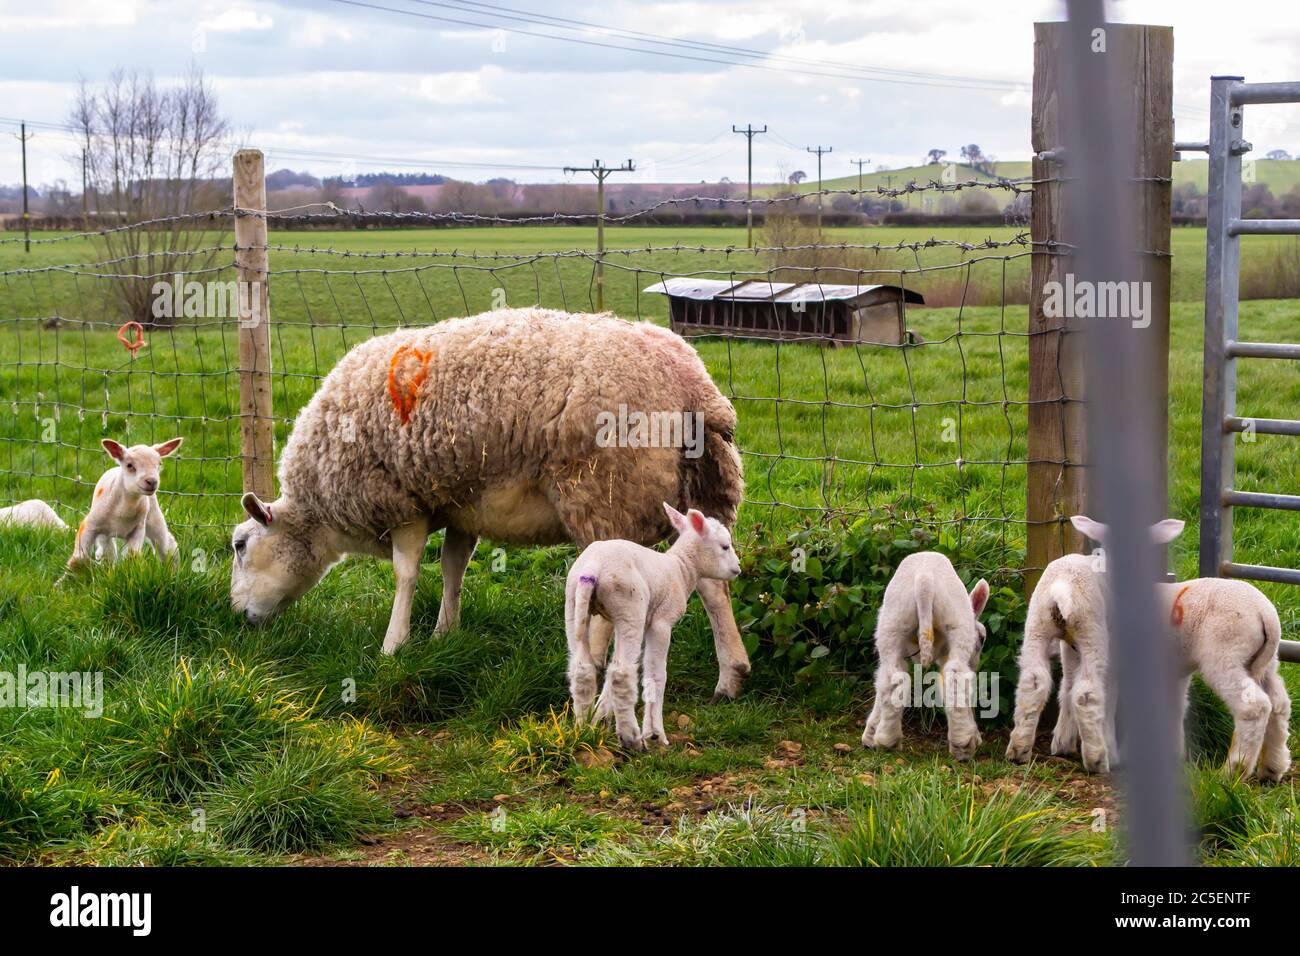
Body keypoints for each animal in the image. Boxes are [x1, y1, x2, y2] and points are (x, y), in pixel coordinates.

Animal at [65, 438, 183, 572]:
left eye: (159, 464)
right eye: (129, 465)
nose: (152, 481)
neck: (124, 510)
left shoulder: (138, 528)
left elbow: (131, 557)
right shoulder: (90, 525)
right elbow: (78, 559)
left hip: (153, 517)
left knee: (166, 544)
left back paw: (173, 570)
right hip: (105, 532)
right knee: (107, 550)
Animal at [228, 307, 751, 701]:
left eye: (239, 546)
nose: (238, 618)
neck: (321, 511)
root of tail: (694, 387)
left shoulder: (402, 503)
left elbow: (406, 573)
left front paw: (393, 646)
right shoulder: (462, 507)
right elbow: (452, 568)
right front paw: (444, 634)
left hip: (608, 495)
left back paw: (598, 668)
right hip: (696, 498)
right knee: (711, 584)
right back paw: (731, 676)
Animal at [566, 503, 741, 750]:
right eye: (725, 546)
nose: (737, 568)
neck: (681, 569)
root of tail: (593, 568)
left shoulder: (635, 622)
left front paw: (600, 718)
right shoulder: (661, 622)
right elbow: (656, 674)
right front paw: (655, 733)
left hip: (574, 605)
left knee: (582, 670)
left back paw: (582, 731)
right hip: (628, 606)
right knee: (621, 673)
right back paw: (632, 739)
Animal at [862, 551, 991, 761]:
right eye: (981, 638)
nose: (975, 664)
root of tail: (924, 580)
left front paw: (870, 735)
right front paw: (976, 735)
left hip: (893, 622)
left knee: (892, 678)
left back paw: (888, 741)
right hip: (957, 621)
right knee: (955, 677)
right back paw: (963, 745)